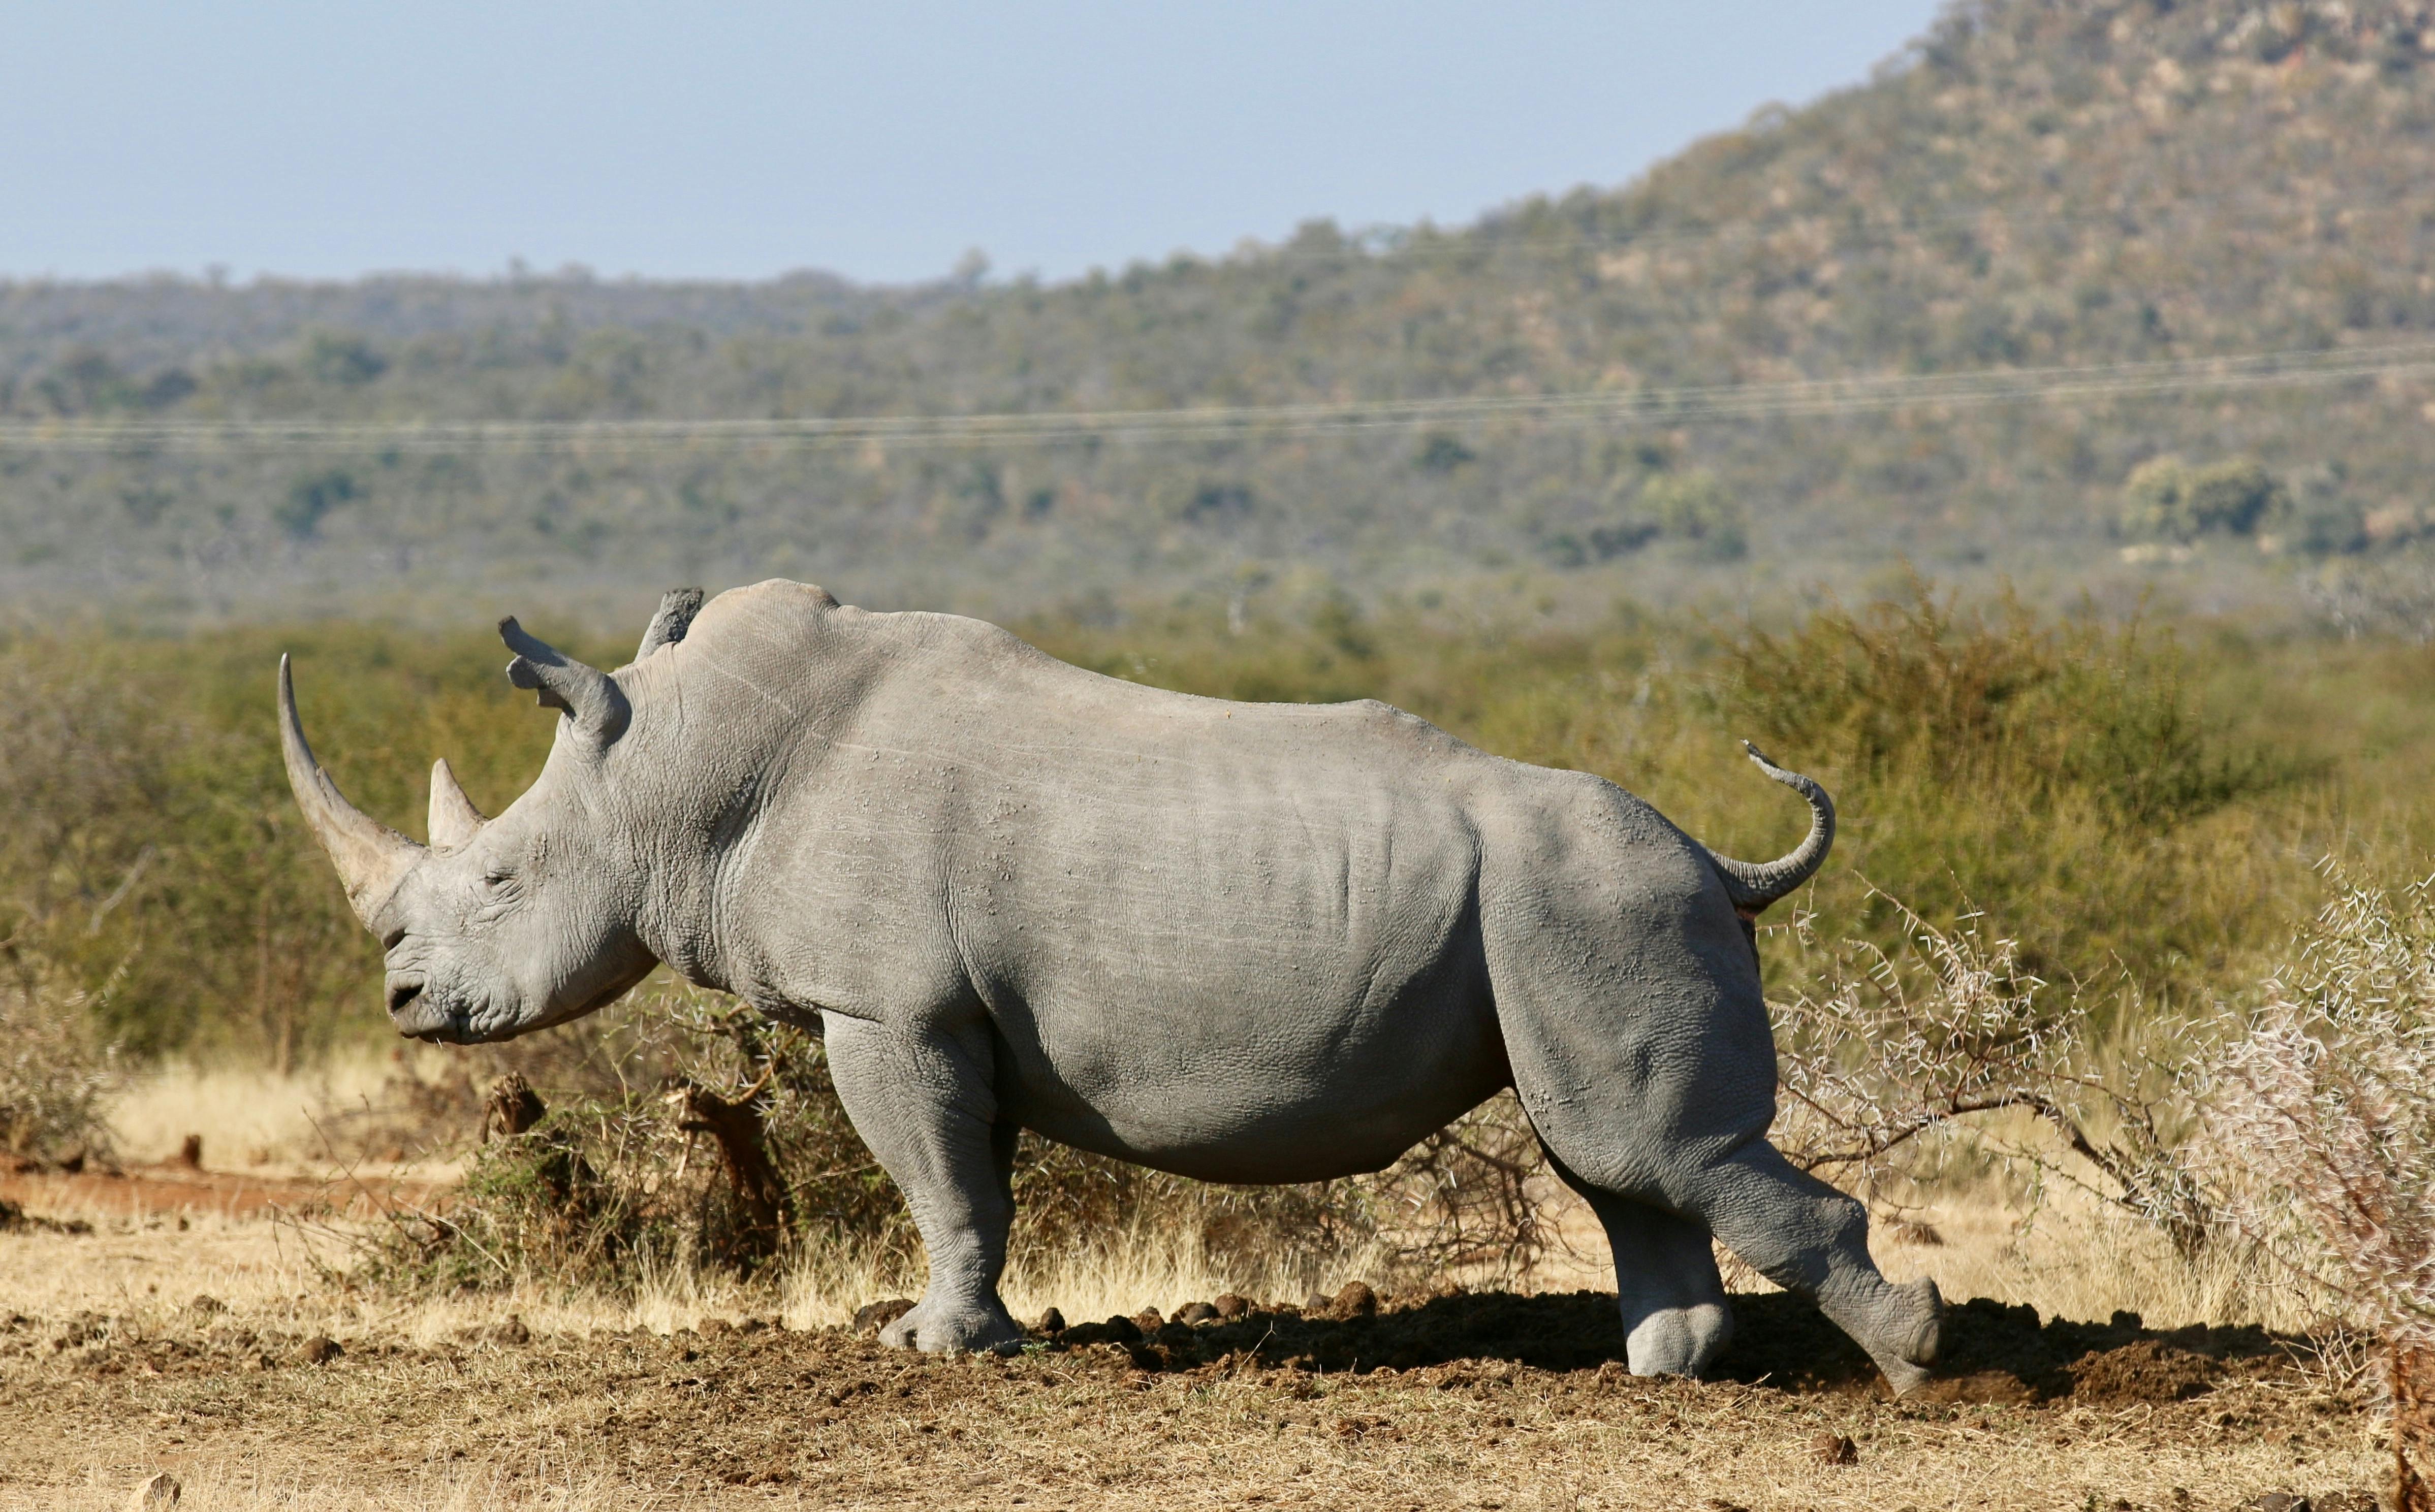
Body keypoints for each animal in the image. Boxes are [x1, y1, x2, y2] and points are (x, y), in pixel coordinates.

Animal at [278, 579, 1941, 1389]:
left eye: (502, 880)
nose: (406, 1007)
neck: (681, 773)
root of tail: (1720, 859)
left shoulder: (884, 1006)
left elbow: (934, 1175)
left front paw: (931, 1353)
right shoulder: (954, 1017)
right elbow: (975, 1183)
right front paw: (975, 1331)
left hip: (1596, 899)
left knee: (1653, 1148)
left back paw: (1910, 1366)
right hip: (1571, 909)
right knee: (1618, 1157)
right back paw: (1660, 1377)